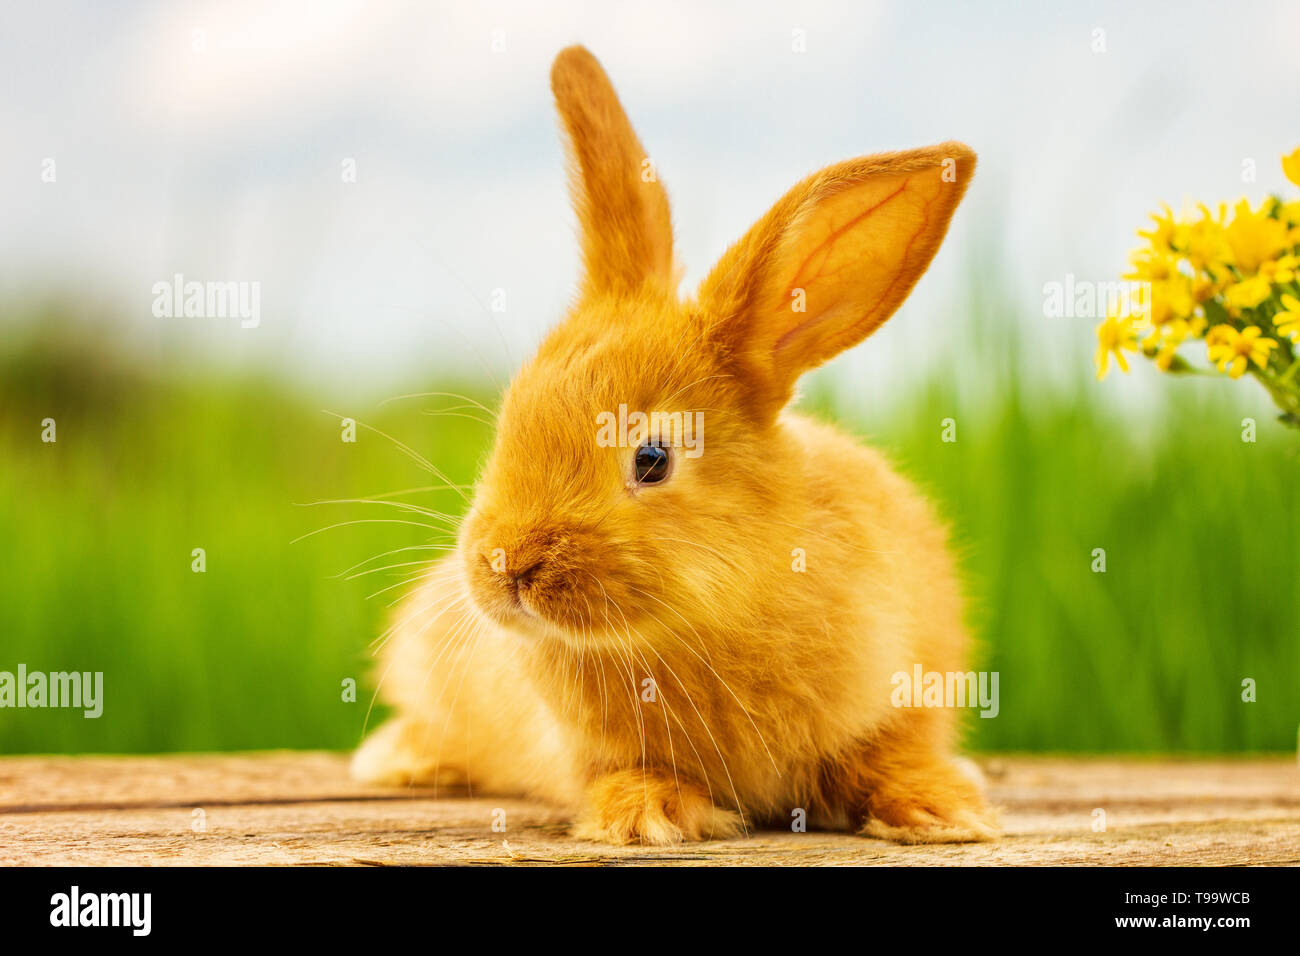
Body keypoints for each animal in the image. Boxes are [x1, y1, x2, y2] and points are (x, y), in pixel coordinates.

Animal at [351, 45, 999, 846]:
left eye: (652, 459)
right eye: (510, 420)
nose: (504, 566)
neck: (707, 614)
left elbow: (885, 753)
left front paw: (943, 808)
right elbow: (619, 773)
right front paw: (650, 815)